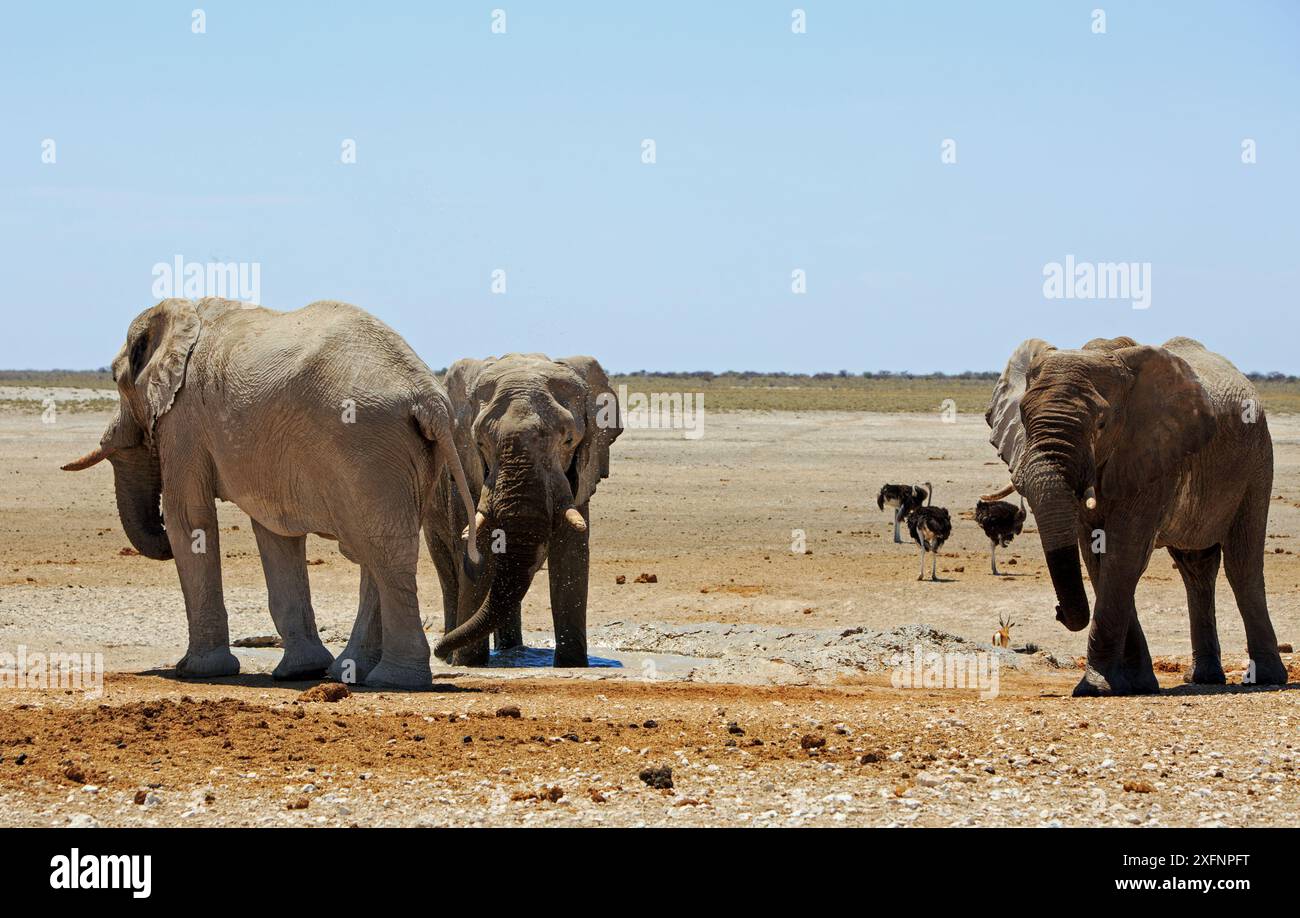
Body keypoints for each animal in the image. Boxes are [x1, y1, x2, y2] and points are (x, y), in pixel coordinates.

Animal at [62, 297, 479, 688]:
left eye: (114, 378)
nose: (158, 536)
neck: (183, 317)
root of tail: (429, 399)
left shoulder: (184, 420)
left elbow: (190, 521)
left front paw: (195, 671)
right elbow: (275, 531)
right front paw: (300, 671)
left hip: (370, 447)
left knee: (384, 551)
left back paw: (393, 681)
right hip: (406, 455)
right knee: (376, 551)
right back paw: (351, 673)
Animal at [396, 353, 621, 668]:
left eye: (568, 440)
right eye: (480, 443)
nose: (438, 650)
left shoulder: (579, 473)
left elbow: (571, 555)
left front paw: (572, 664)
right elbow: (477, 552)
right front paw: (468, 663)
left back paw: (510, 652)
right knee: (449, 574)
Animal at [984, 335, 1286, 696]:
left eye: (1101, 424)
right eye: (1024, 418)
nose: (1058, 611)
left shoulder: (1153, 455)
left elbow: (1125, 553)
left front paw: (1094, 687)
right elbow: (1098, 556)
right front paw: (1134, 683)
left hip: (1257, 461)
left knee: (1242, 564)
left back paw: (1266, 678)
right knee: (1196, 568)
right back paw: (1203, 677)